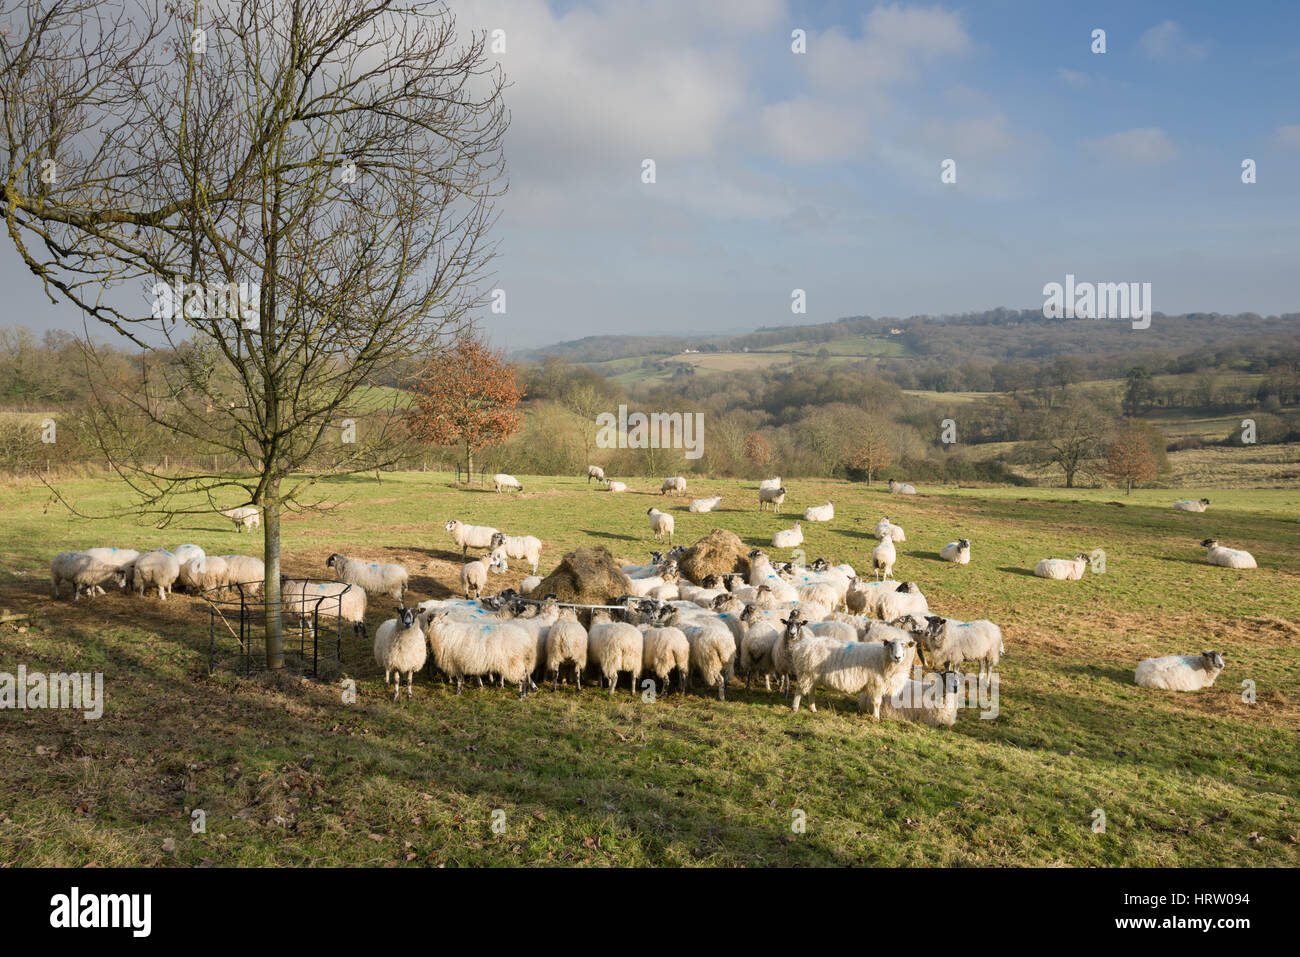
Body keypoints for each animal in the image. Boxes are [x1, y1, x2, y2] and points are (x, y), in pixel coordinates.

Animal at [782, 616, 916, 717]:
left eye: (904, 645)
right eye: (891, 644)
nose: (898, 657)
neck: (883, 658)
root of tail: (800, 646)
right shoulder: (876, 684)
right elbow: (877, 703)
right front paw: (876, 718)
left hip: (813, 676)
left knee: (811, 691)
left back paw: (813, 708)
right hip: (806, 674)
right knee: (799, 690)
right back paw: (795, 707)